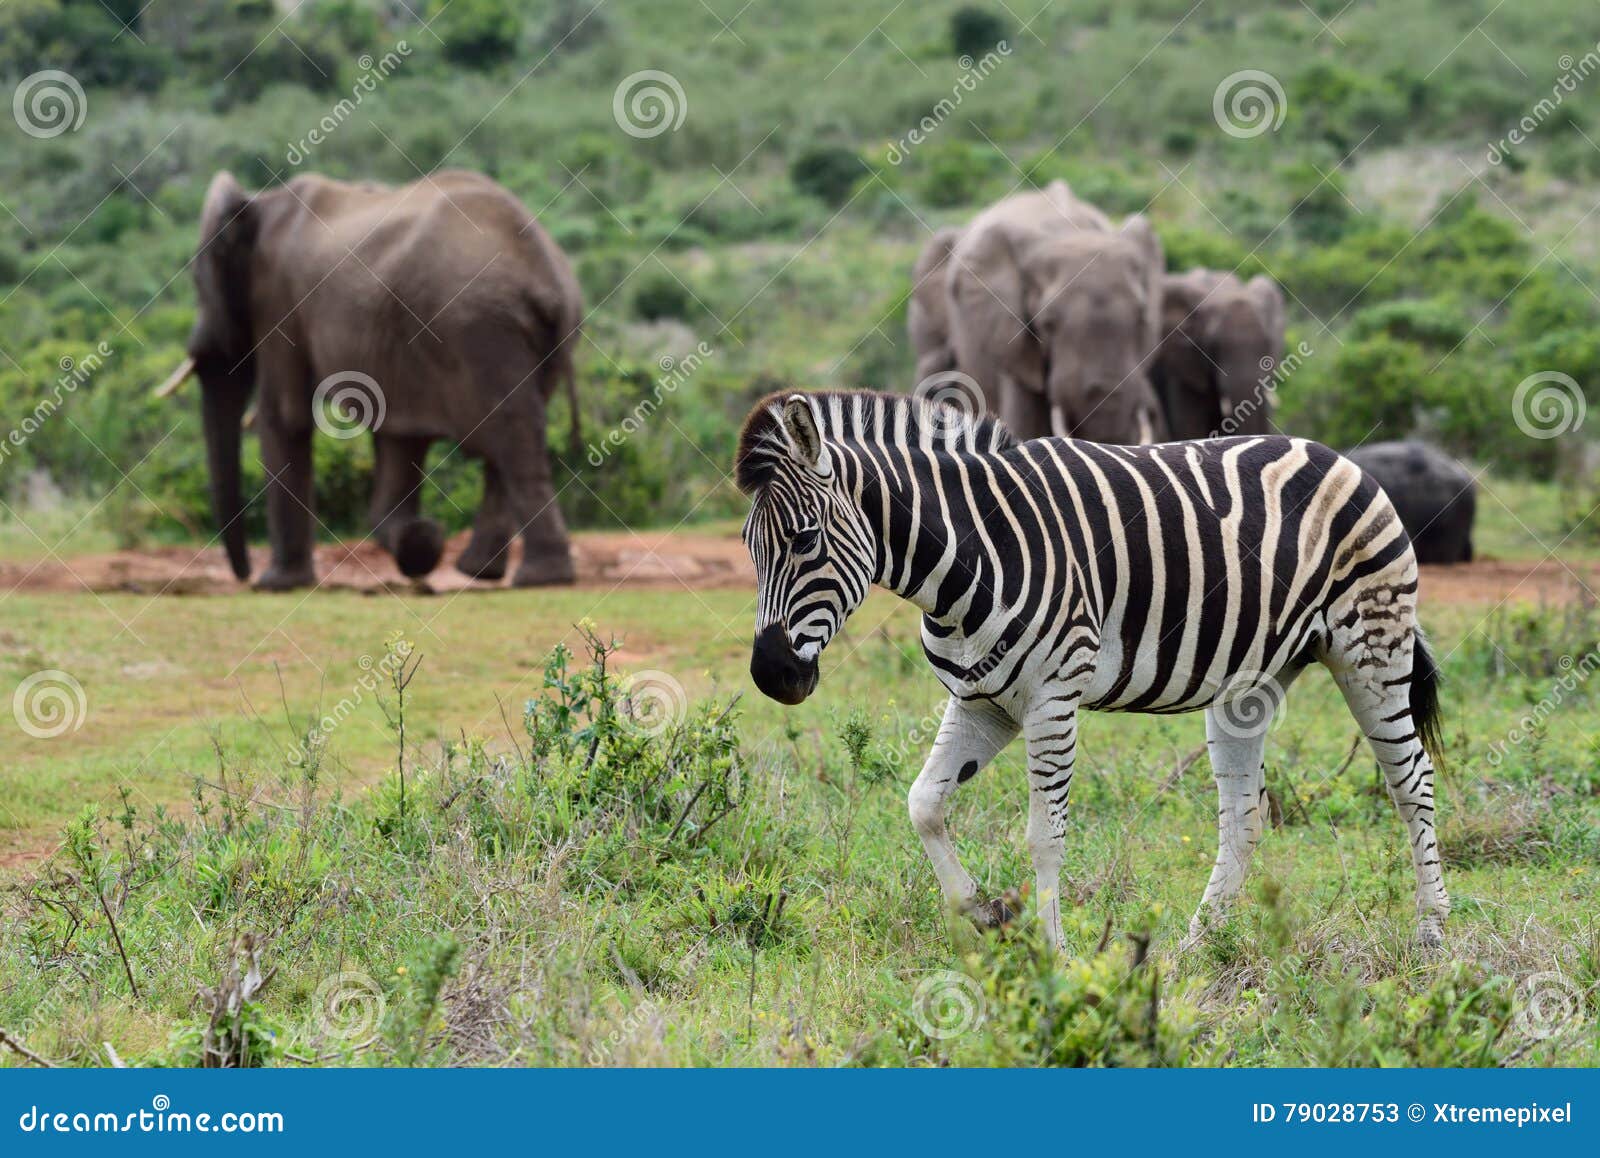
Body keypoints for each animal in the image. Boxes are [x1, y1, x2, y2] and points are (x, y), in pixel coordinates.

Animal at [155, 169, 582, 590]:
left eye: (197, 283)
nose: (243, 576)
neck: (257, 202)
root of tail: (549, 279)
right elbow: (398, 439)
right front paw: (419, 542)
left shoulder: (277, 301)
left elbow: (285, 417)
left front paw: (276, 584)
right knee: (505, 447)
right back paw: (481, 571)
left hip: (481, 330)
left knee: (509, 441)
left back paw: (537, 577)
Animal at [736, 389, 1450, 950]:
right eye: (748, 547)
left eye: (804, 540)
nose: (772, 676)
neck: (968, 563)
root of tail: (1335, 454)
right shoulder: (981, 701)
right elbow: (924, 805)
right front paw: (985, 914)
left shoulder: (1052, 699)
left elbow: (1044, 836)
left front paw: (1055, 957)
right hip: (1251, 683)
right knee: (1244, 818)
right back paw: (1194, 947)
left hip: (1372, 649)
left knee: (1412, 784)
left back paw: (1432, 936)